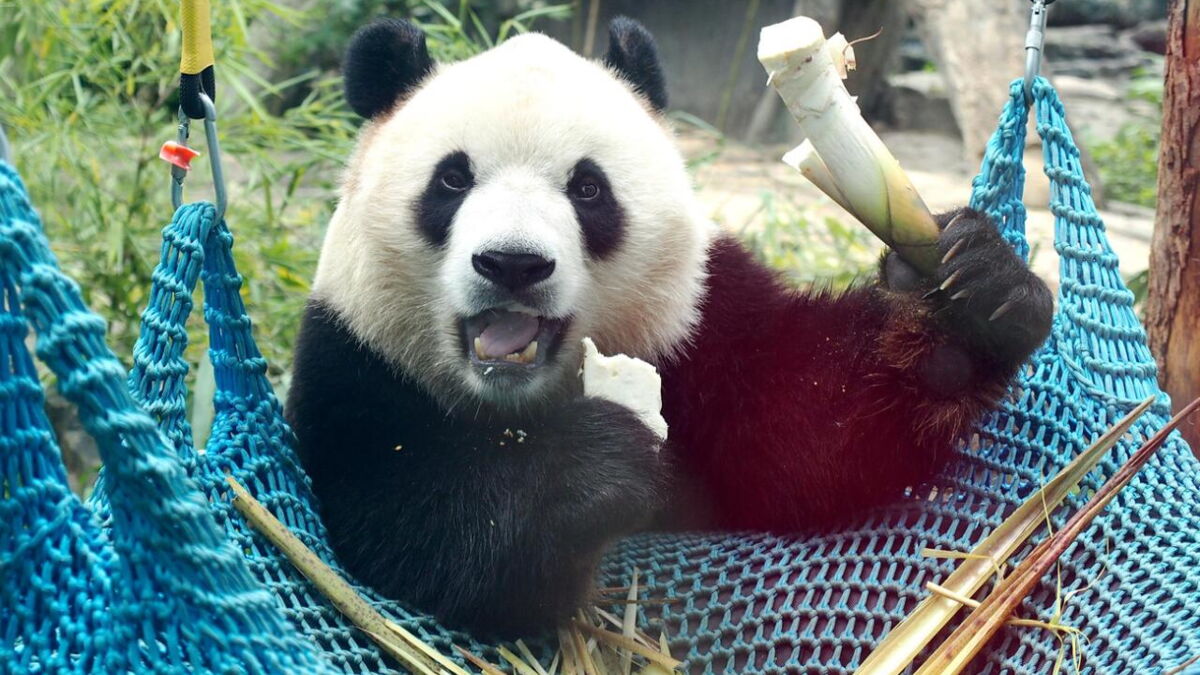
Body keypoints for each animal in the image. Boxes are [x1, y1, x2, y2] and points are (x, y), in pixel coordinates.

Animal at [285, 16, 1053, 637]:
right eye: (451, 180)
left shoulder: (700, 323)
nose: (512, 263)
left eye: (588, 189)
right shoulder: (355, 358)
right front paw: (594, 467)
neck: (518, 402)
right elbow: (406, 519)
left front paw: (972, 294)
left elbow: (812, 428)